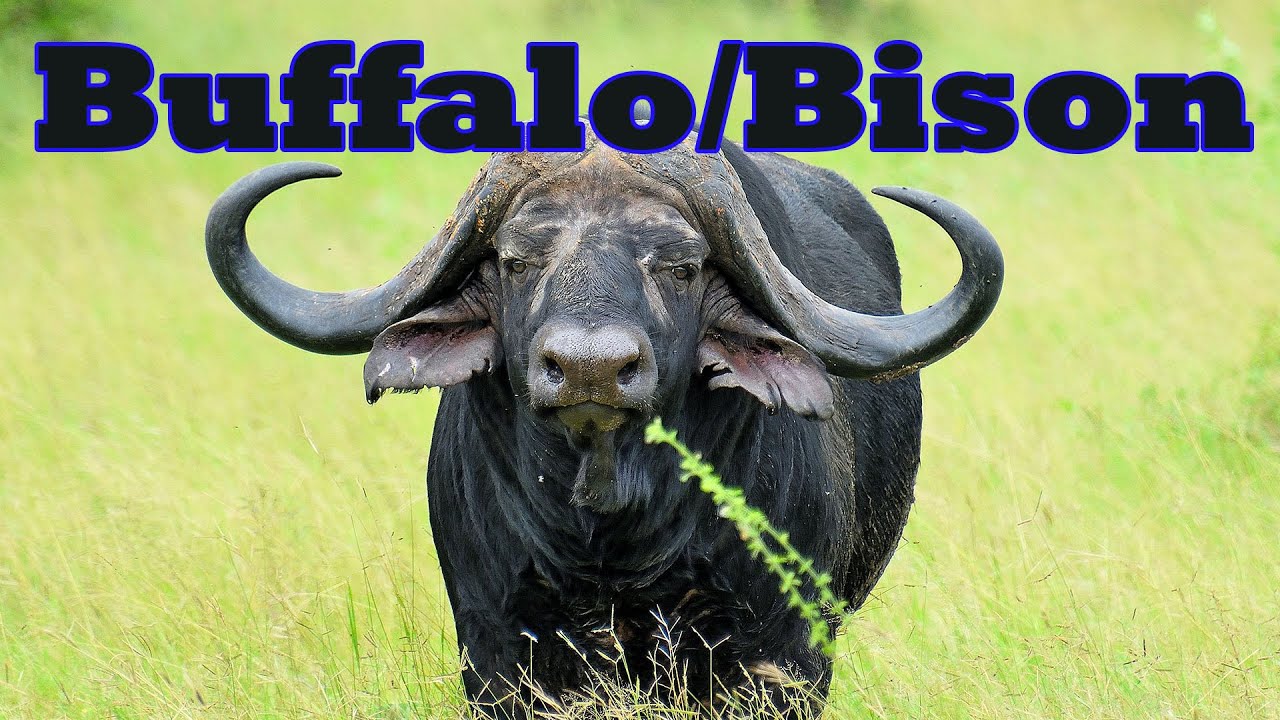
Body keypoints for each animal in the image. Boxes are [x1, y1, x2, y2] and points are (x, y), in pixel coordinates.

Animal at [205, 129, 1003, 717]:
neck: (608, 534)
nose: (590, 368)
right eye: (516, 260)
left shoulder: (782, 648)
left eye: (680, 266)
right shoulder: (497, 646)